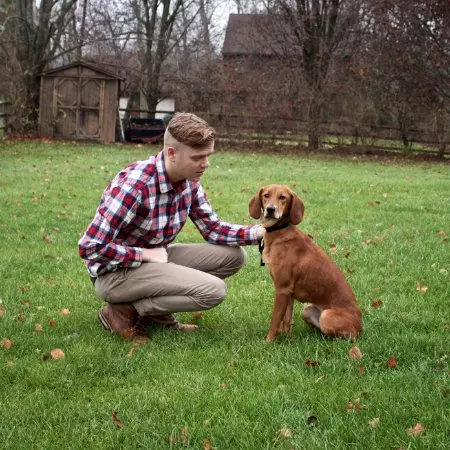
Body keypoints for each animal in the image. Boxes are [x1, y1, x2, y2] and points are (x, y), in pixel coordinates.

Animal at [250, 185, 362, 342]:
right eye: (266, 195)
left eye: (282, 197)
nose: (270, 209)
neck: (279, 232)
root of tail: (360, 328)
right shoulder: (289, 293)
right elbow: (286, 319)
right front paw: (285, 337)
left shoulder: (282, 289)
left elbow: (275, 320)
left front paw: (269, 341)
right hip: (307, 310)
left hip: (327, 316)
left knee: (346, 337)